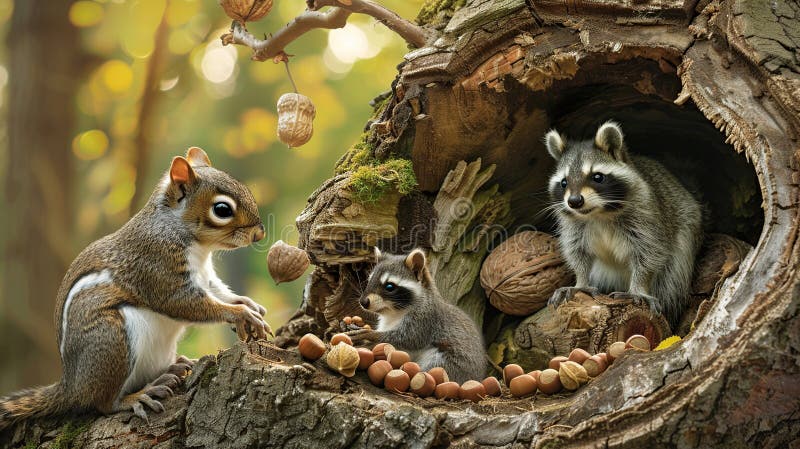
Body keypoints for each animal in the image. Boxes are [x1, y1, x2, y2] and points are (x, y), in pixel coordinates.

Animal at [0, 147, 271, 430]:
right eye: (222, 209)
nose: (260, 234)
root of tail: (71, 386)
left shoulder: (205, 276)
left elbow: (219, 292)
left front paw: (247, 304)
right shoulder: (157, 267)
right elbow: (185, 303)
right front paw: (240, 314)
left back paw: (173, 368)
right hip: (112, 341)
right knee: (104, 404)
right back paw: (138, 396)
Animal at [346, 248, 486, 384]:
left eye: (389, 286)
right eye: (369, 281)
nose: (363, 302)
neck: (393, 312)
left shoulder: (426, 319)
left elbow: (409, 338)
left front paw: (371, 334)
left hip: (451, 362)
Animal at [544, 121, 703, 329]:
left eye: (597, 177)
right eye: (564, 182)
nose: (574, 201)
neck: (598, 214)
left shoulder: (646, 217)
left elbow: (649, 254)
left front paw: (638, 287)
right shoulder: (574, 226)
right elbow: (577, 253)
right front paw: (581, 282)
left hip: (685, 236)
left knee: (670, 279)